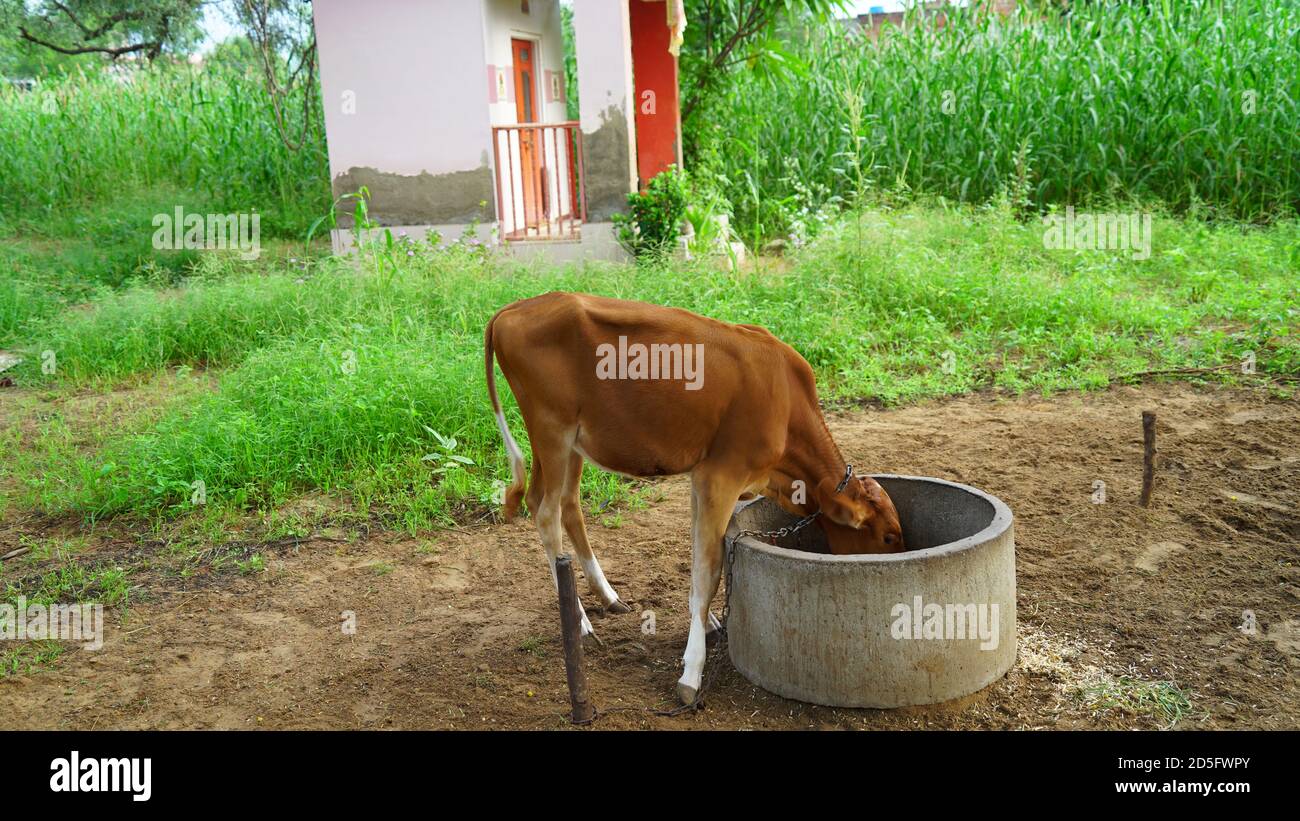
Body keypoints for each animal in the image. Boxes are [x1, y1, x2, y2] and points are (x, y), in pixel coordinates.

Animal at [484, 292, 903, 705]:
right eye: (888, 537)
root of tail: (517, 307)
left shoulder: (702, 477)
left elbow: (697, 558)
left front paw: (709, 624)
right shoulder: (722, 476)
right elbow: (709, 573)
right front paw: (692, 670)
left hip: (573, 443)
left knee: (565, 504)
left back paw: (607, 596)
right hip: (552, 431)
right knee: (545, 511)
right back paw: (580, 621)